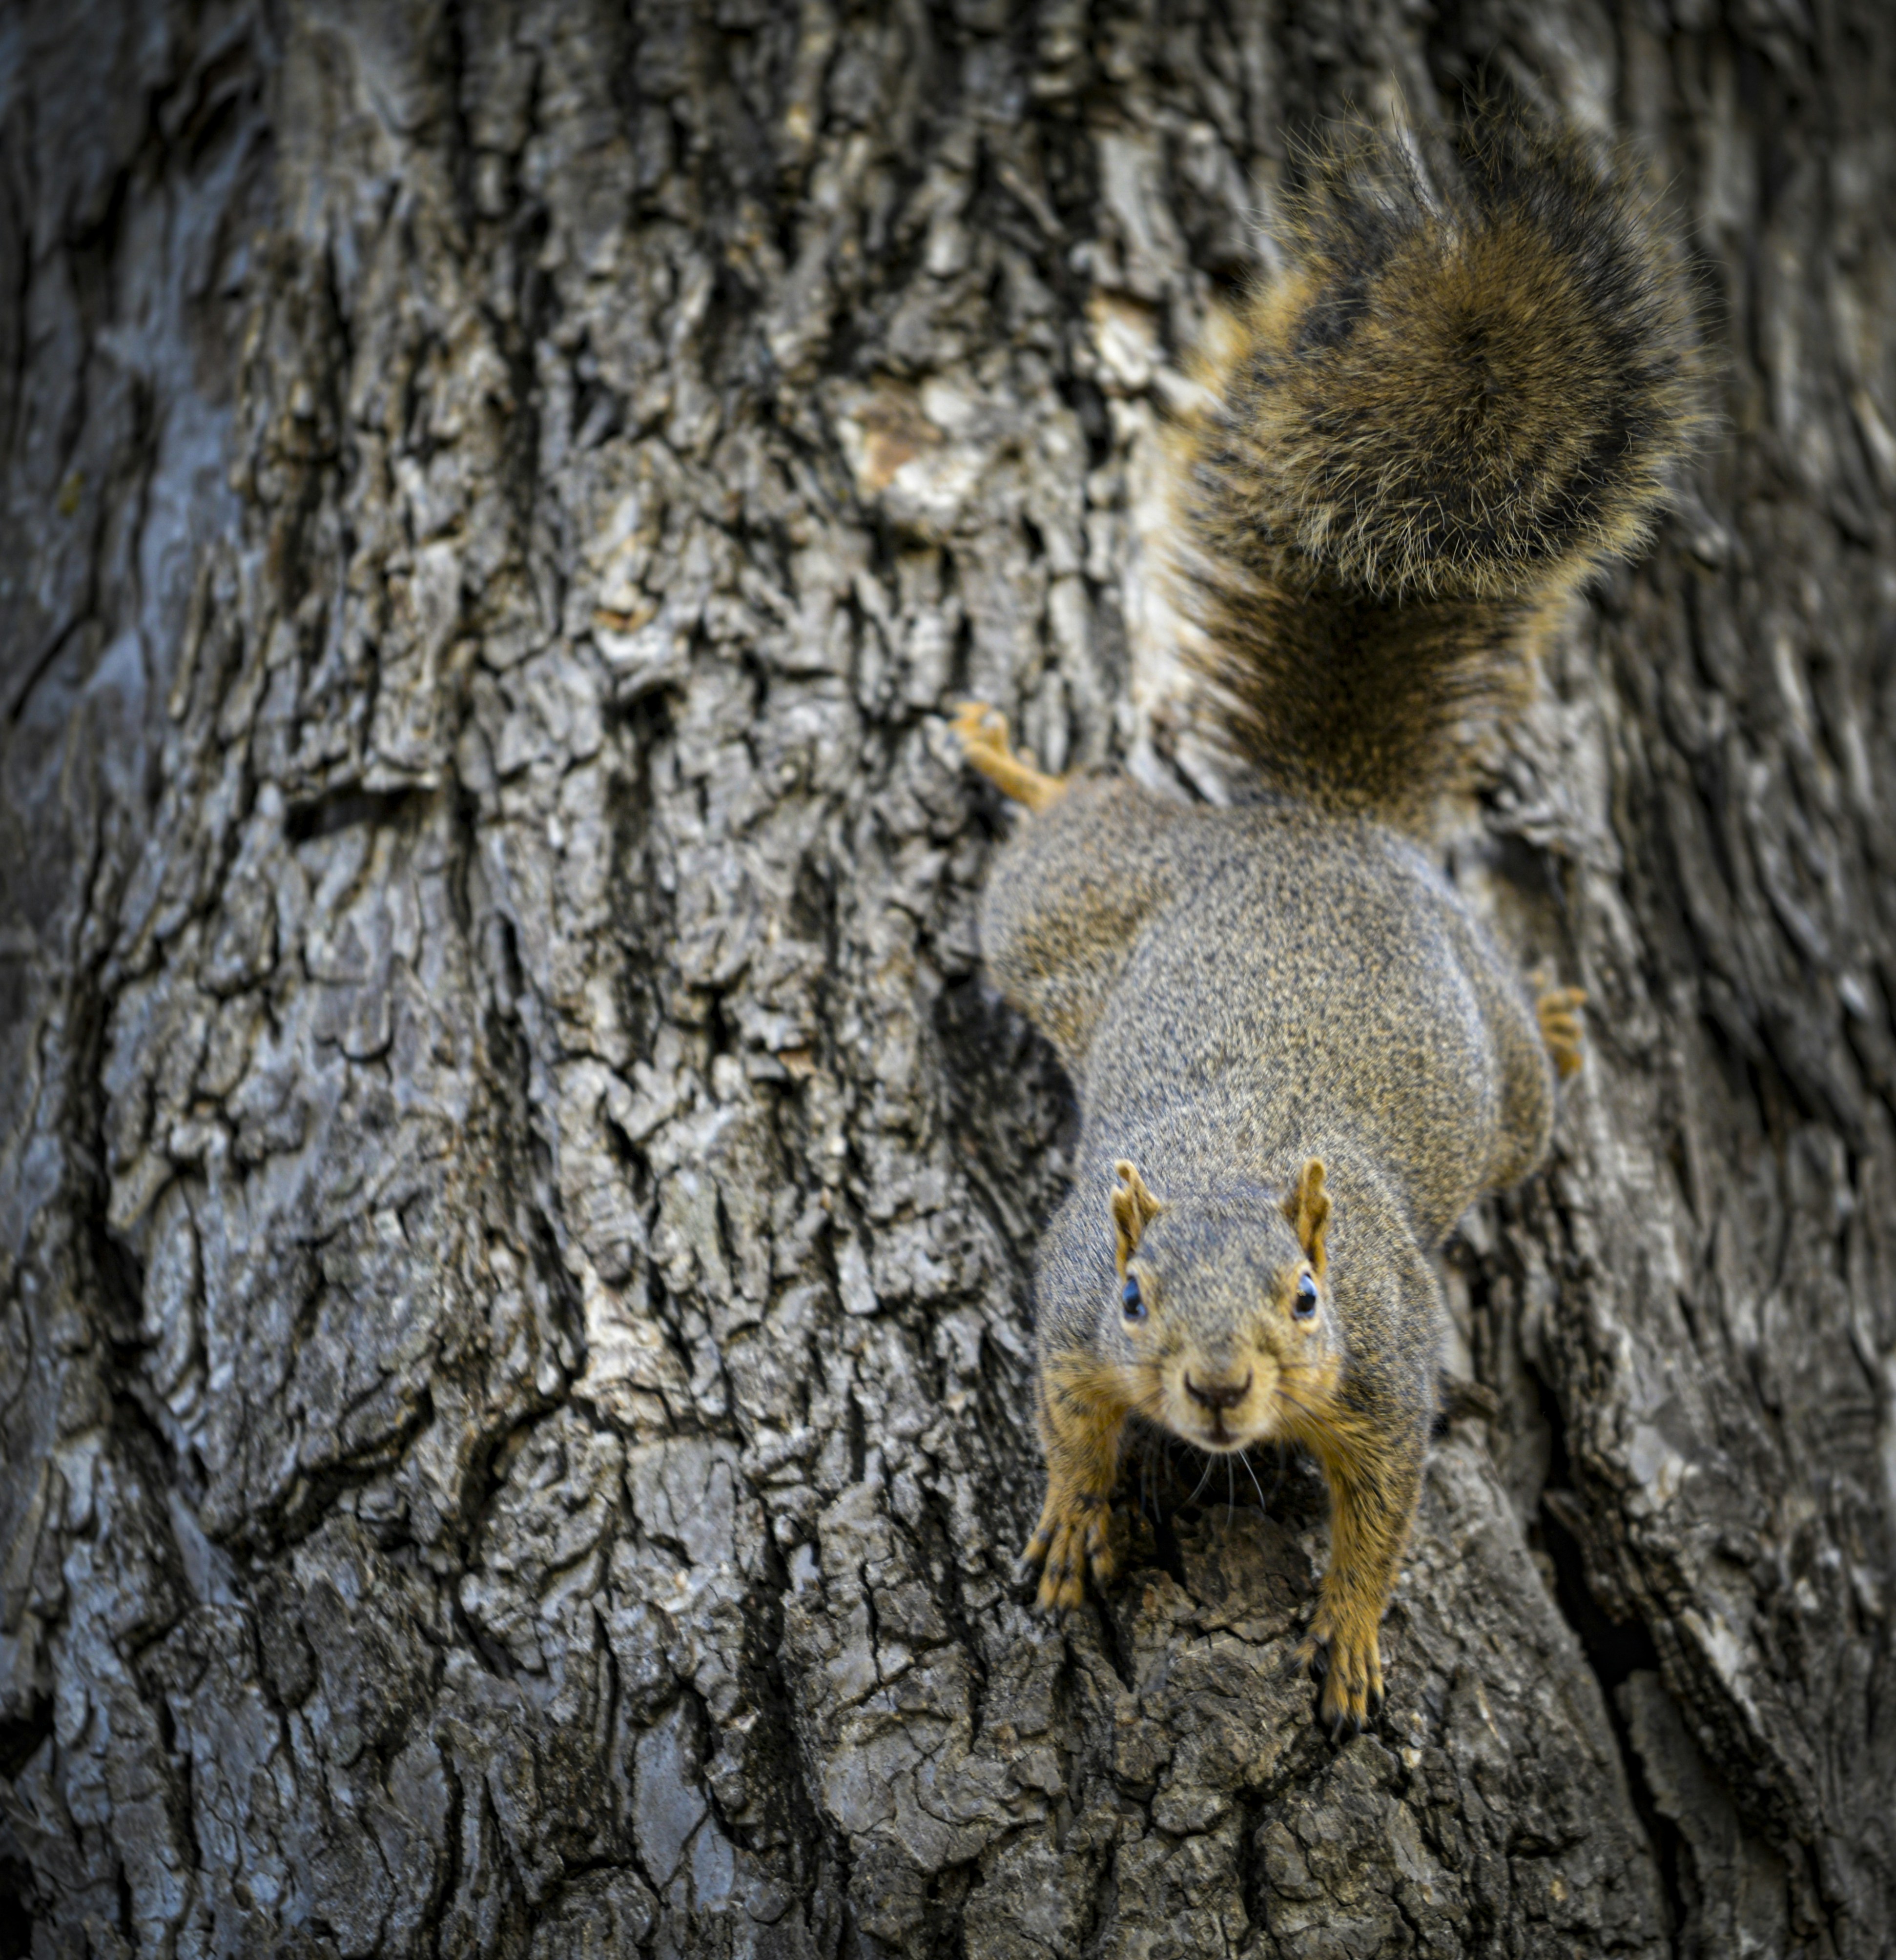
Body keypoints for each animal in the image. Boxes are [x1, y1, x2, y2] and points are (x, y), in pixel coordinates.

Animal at [953, 108, 1697, 1735]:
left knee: (1524, 1093)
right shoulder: (1066, 1316)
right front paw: (1075, 1518)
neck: (1234, 1170)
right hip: (1058, 917)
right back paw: (1010, 763)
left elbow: (1382, 1520)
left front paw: (1349, 1640)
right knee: (1066, 826)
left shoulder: (1388, 1374)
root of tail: (1318, 822)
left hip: (1492, 1090)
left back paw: (1553, 1024)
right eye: (1135, 1293)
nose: (1219, 1393)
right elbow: (1067, 1420)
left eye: (1305, 1296)